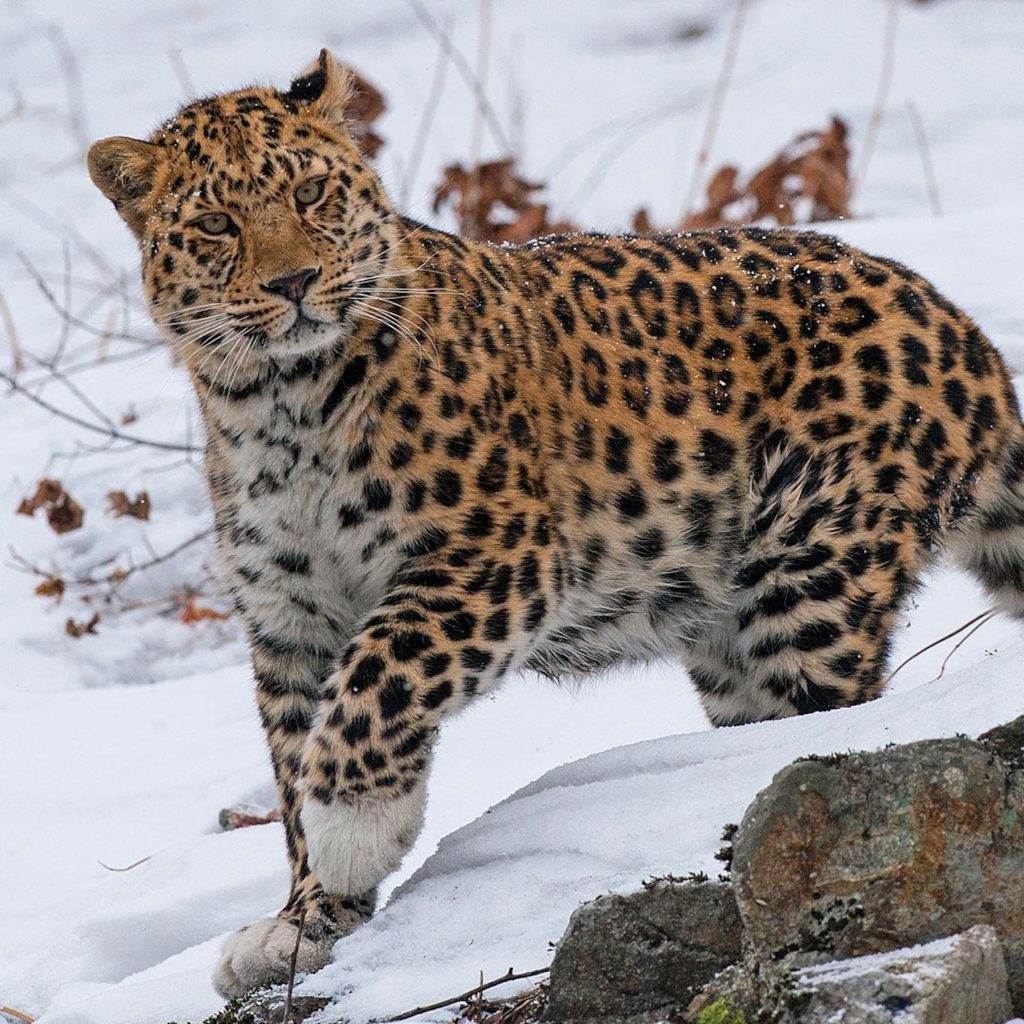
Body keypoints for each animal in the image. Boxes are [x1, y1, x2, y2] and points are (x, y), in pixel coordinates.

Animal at [88, 50, 1024, 999]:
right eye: (216, 224)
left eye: (311, 193)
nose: (293, 283)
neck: (278, 404)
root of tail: (970, 336)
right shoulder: (291, 618)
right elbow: (293, 756)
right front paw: (307, 922)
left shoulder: (493, 551)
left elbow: (378, 680)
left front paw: (353, 829)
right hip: (730, 632)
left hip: (811, 569)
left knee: (832, 715)